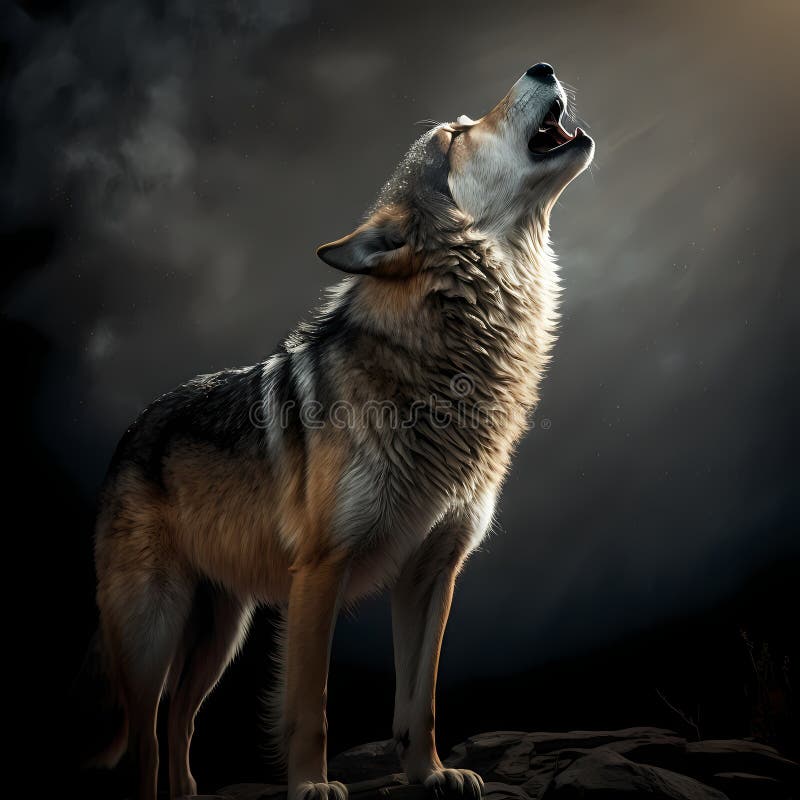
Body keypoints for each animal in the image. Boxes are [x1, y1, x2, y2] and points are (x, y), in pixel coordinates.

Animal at [89, 62, 593, 800]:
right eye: (455, 136)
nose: (543, 66)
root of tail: (132, 429)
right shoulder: (321, 571)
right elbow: (311, 705)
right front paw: (311, 786)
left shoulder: (433, 572)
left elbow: (420, 700)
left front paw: (431, 773)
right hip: (153, 630)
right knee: (147, 735)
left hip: (221, 632)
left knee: (181, 719)